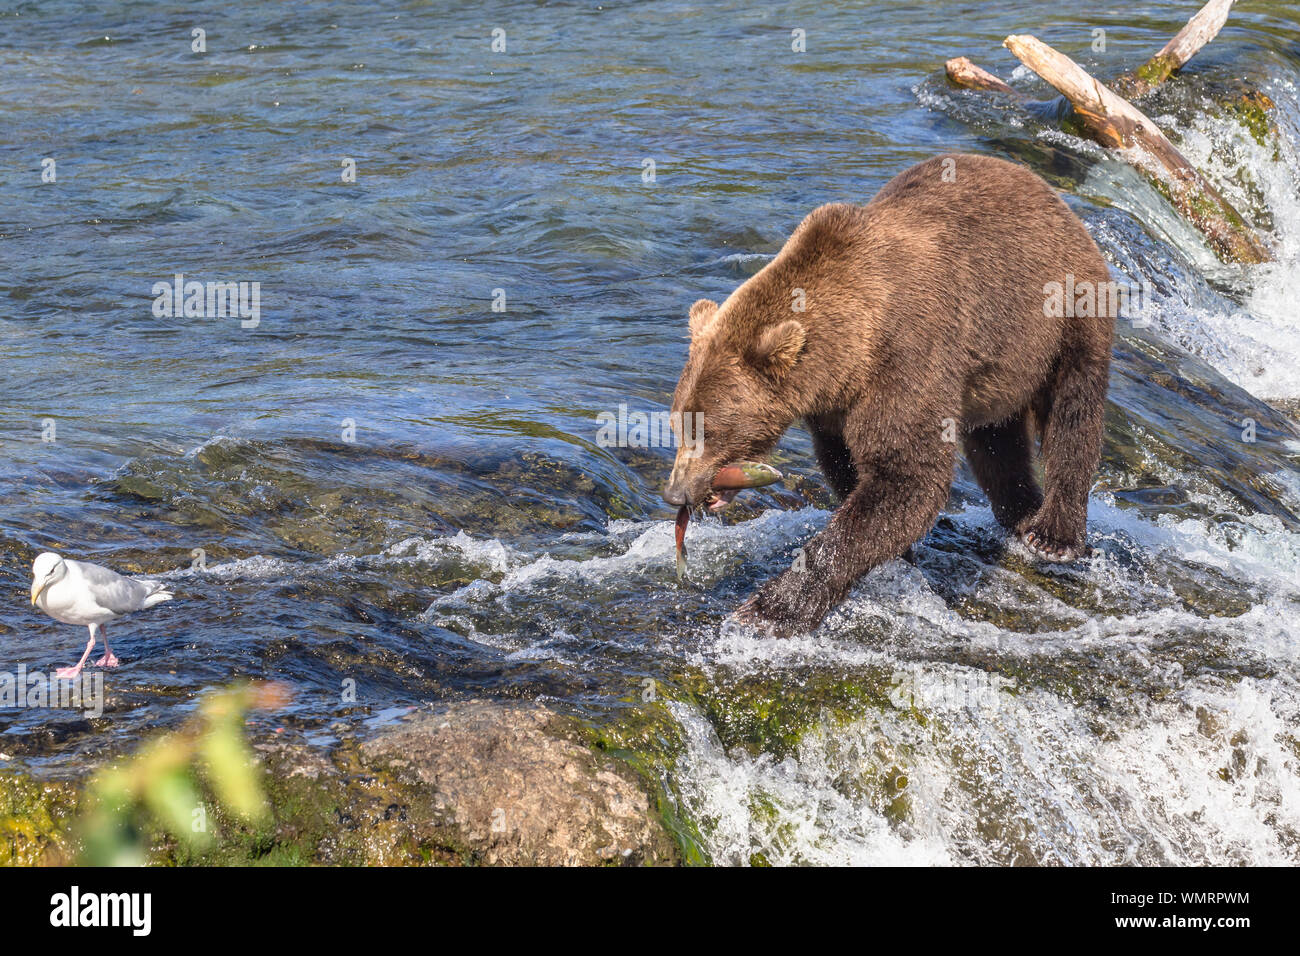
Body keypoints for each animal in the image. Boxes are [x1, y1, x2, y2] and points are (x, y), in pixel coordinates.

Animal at [663, 153, 1114, 634]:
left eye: (708, 430)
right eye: (678, 424)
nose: (676, 494)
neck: (851, 346)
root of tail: (1052, 197)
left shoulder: (907, 359)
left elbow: (907, 475)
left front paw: (767, 609)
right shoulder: (835, 405)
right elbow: (847, 466)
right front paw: (901, 552)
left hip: (1065, 314)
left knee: (1074, 413)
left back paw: (1053, 535)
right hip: (999, 368)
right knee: (996, 440)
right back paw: (1019, 511)